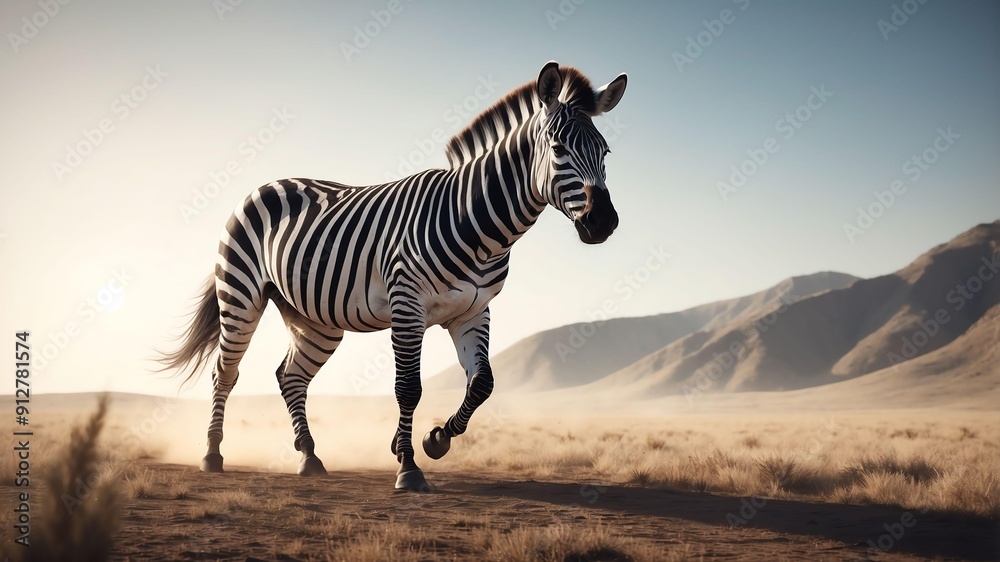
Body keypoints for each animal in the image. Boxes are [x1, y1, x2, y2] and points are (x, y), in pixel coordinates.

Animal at [160, 62, 627, 491]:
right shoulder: (407, 305)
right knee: (226, 372)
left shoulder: (473, 311)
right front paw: (407, 466)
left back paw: (309, 456)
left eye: (605, 152)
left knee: (290, 376)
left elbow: (482, 383)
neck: (477, 225)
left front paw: (435, 439)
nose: (603, 222)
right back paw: (212, 455)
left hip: (314, 318)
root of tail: (265, 185)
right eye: (558, 147)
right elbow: (408, 388)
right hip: (240, 295)